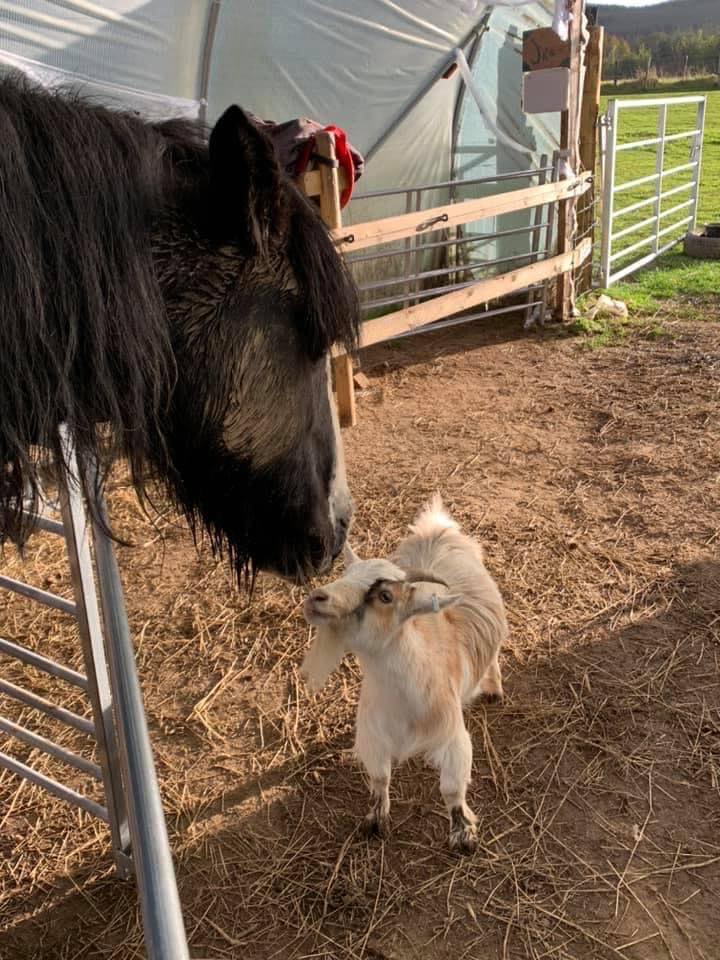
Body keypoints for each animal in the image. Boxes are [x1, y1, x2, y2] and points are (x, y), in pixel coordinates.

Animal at [301, 496, 508, 852]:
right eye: (345, 573)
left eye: (385, 596)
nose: (317, 598)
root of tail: (436, 527)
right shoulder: (373, 735)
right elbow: (380, 778)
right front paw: (375, 821)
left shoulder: (452, 735)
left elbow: (452, 788)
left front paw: (464, 834)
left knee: (492, 658)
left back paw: (494, 689)